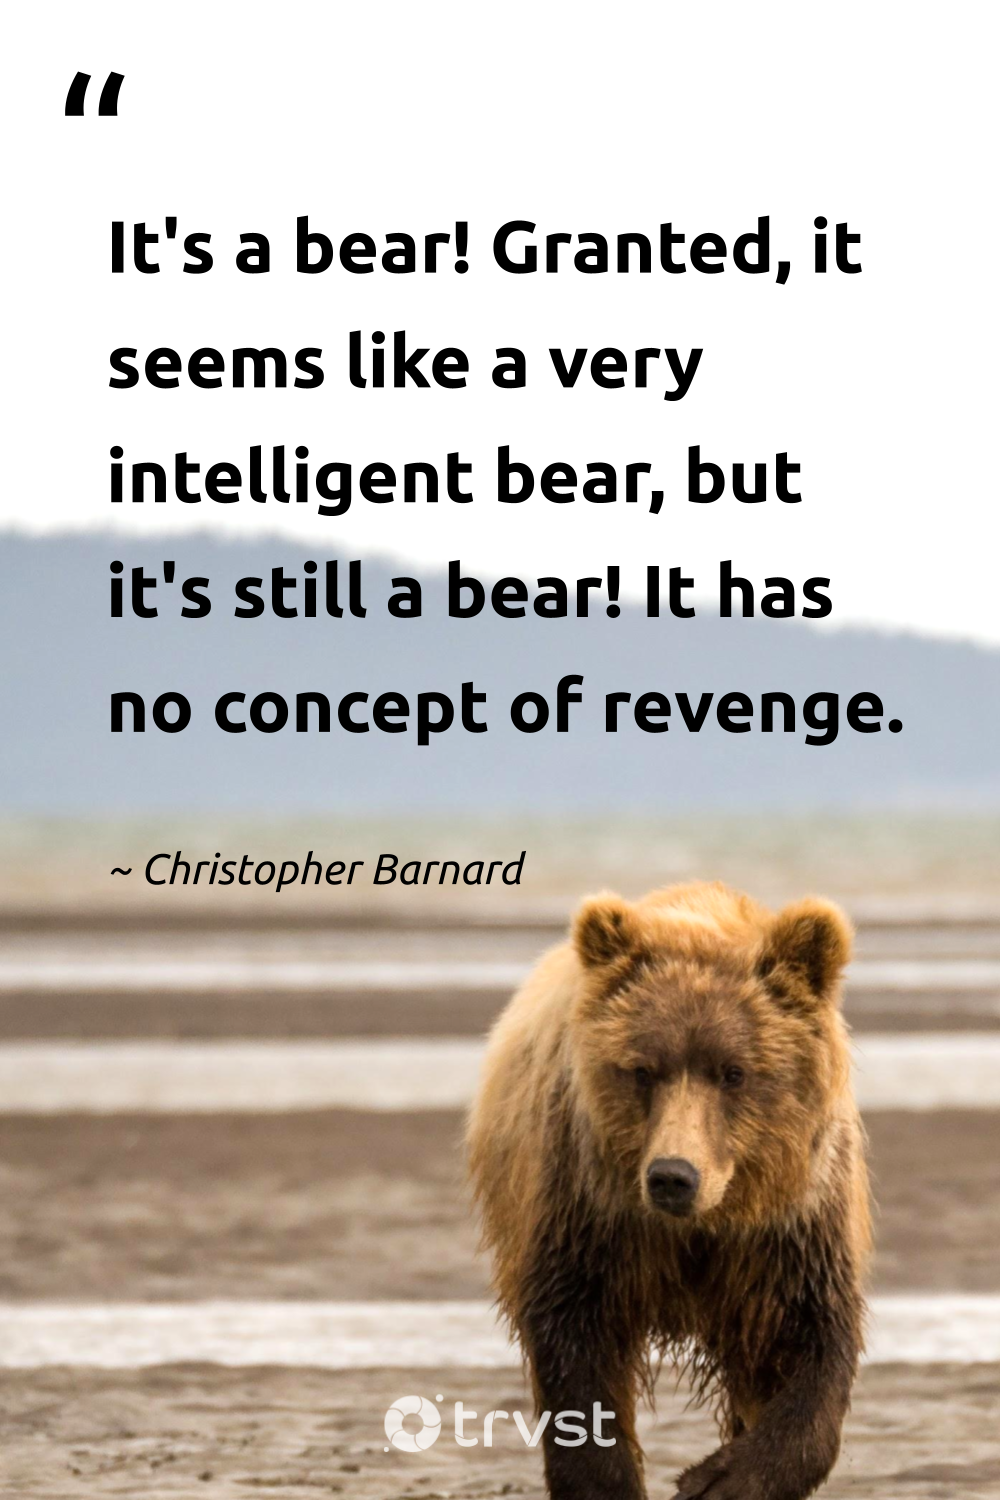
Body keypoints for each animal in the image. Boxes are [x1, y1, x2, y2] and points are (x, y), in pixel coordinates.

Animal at [467, 880, 870, 1500]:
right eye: (642, 1070)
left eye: (734, 1072)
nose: (673, 1176)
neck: (705, 1224)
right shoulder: (588, 1214)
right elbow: (575, 1344)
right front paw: (610, 1481)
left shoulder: (792, 1229)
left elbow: (812, 1343)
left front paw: (717, 1479)